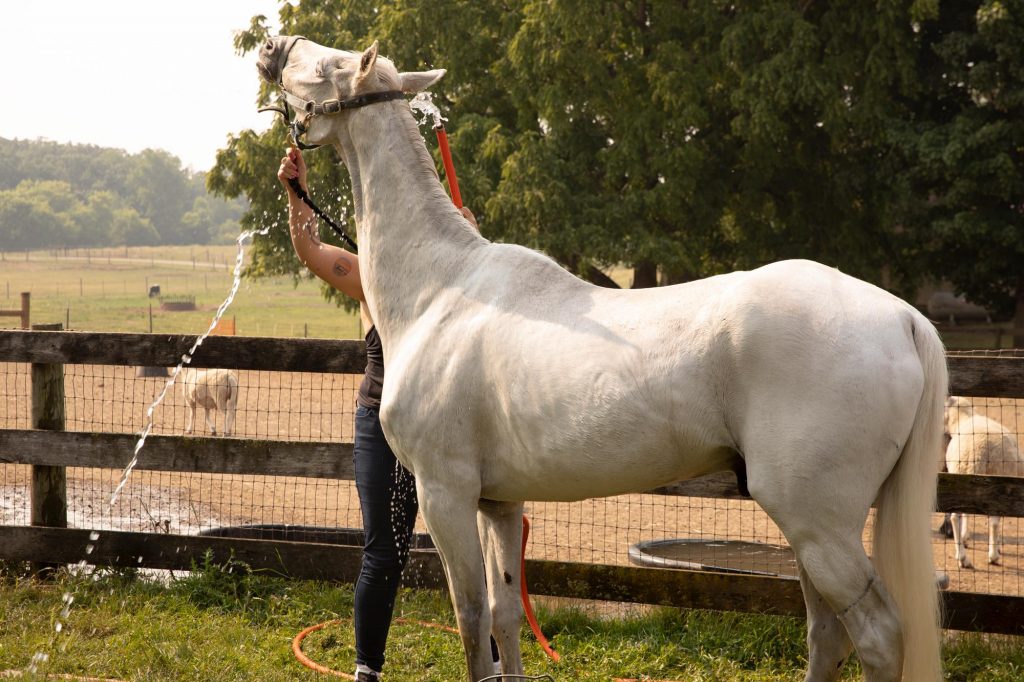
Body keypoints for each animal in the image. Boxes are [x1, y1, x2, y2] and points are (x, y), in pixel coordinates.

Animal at [257, 36, 946, 681]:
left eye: (329, 64)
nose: (272, 46)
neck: (441, 288)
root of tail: (903, 317)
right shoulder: (499, 503)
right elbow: (507, 618)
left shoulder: (444, 491)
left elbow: (472, 621)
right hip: (811, 530)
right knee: (826, 636)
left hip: (817, 524)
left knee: (877, 635)